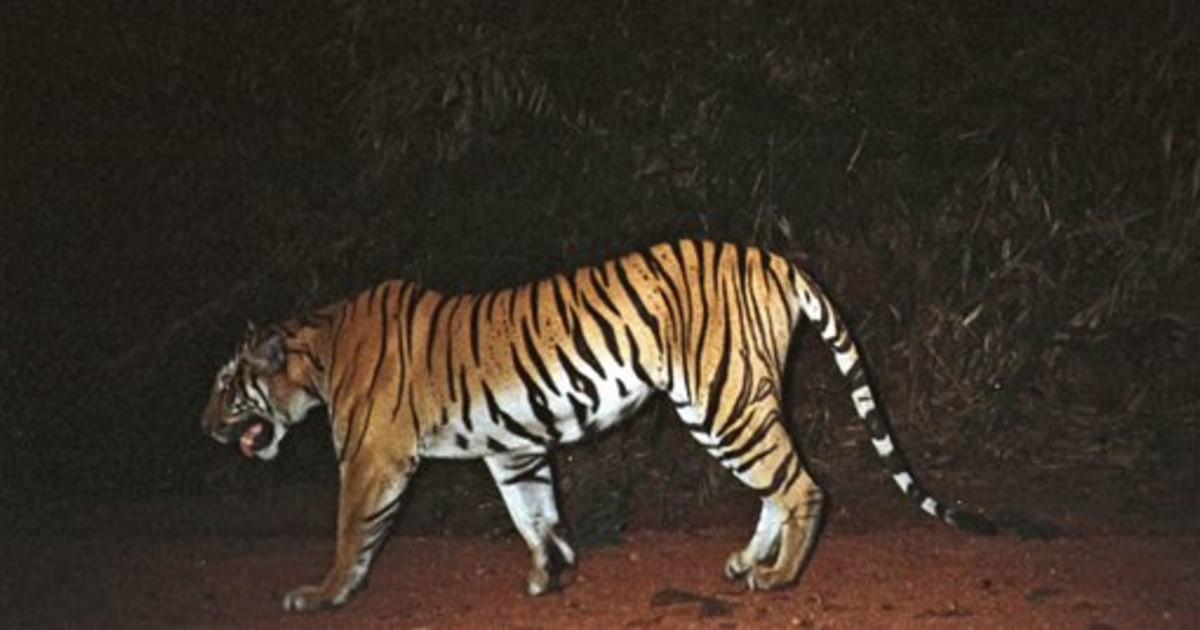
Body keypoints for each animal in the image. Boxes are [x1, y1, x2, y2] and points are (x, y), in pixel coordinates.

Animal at [200, 238, 995, 612]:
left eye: (224, 387)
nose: (203, 427)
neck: (318, 352)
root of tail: (770, 256)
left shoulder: (373, 457)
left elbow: (351, 533)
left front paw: (323, 595)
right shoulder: (514, 449)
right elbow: (534, 512)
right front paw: (550, 574)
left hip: (723, 400)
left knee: (802, 487)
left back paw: (779, 578)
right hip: (728, 405)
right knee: (777, 484)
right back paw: (748, 562)